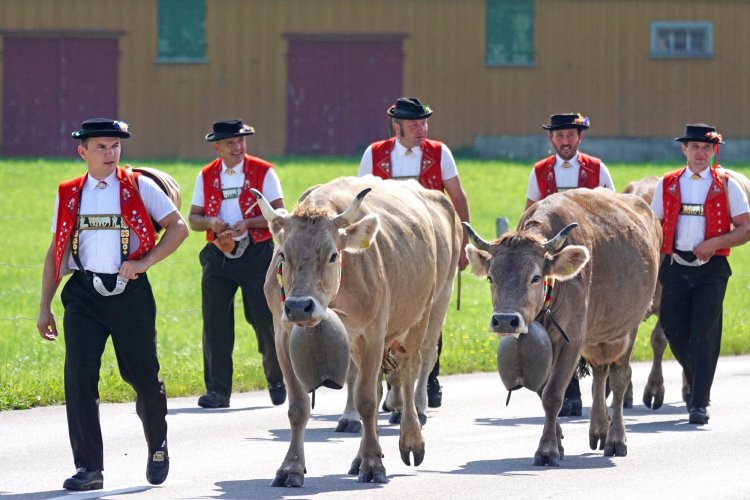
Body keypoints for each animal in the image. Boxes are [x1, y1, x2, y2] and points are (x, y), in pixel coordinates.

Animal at [253, 176, 461, 486]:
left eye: (332, 255)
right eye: (283, 255)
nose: (300, 306)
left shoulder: (373, 334)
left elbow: (367, 400)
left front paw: (374, 464)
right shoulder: (283, 335)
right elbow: (298, 406)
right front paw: (291, 468)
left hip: (428, 311)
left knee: (413, 369)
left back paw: (412, 436)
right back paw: (359, 457)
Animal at [464, 188, 661, 465]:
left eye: (535, 277)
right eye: (491, 277)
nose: (504, 320)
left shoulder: (572, 340)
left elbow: (554, 394)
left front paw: (547, 449)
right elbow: (542, 391)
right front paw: (557, 440)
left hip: (627, 327)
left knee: (620, 378)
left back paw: (615, 439)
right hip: (597, 336)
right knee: (600, 372)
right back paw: (598, 430)